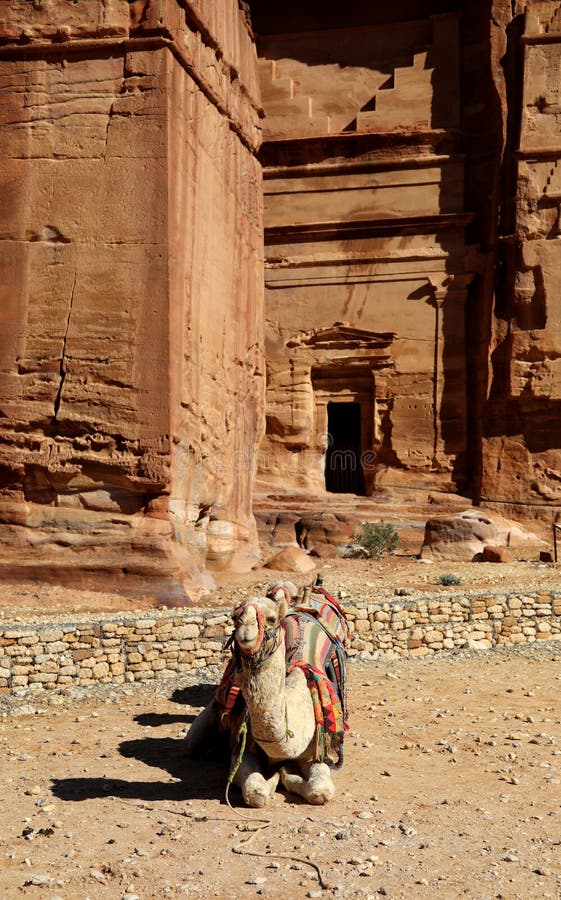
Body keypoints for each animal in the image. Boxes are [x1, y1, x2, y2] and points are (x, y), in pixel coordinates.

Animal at [184, 582, 348, 808]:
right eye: (235, 617)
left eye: (271, 619)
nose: (246, 629)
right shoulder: (242, 747)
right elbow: (256, 793)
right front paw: (277, 775)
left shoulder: (316, 751)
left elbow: (320, 791)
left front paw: (285, 773)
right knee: (192, 743)